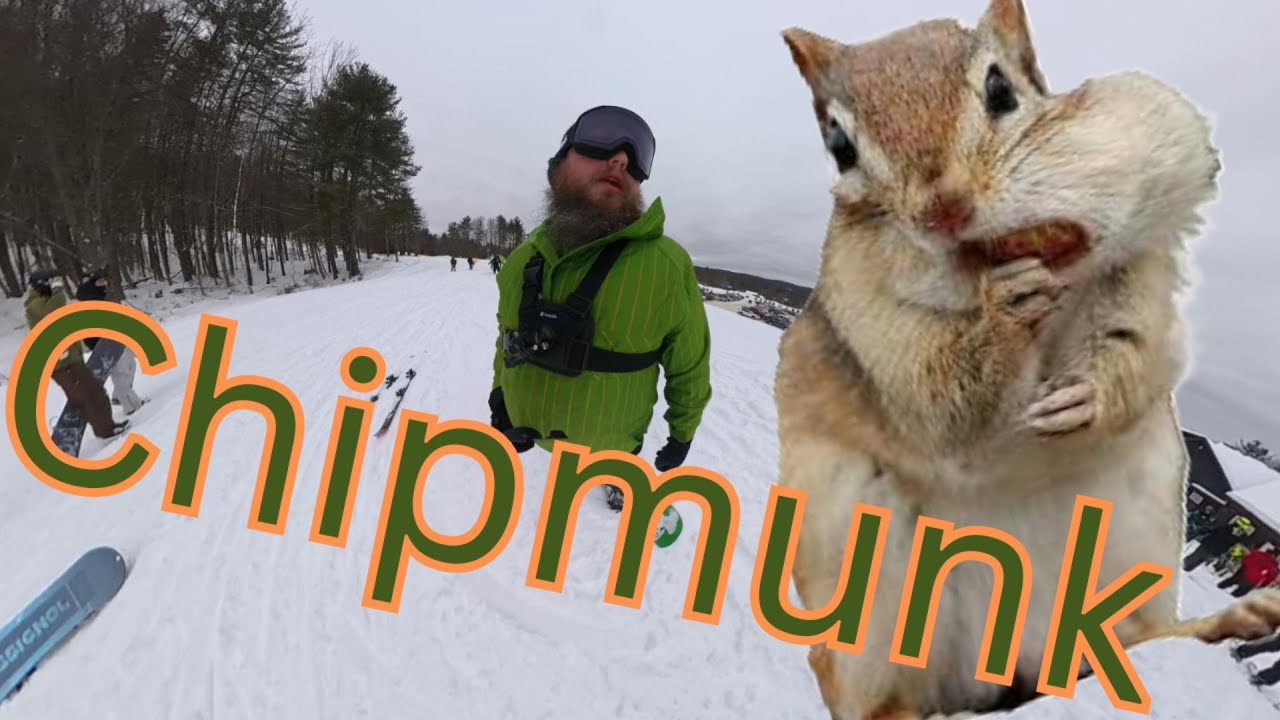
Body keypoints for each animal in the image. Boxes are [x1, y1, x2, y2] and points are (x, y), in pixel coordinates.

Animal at [773, 1, 1280, 718]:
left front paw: (1086, 395)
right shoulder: (860, 315)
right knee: (878, 696)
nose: (944, 209)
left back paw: (1228, 620)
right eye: (840, 145)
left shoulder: (1138, 254)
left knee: (1131, 643)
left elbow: (1140, 343)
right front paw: (1003, 312)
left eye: (1001, 90)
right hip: (862, 579)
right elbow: (930, 396)